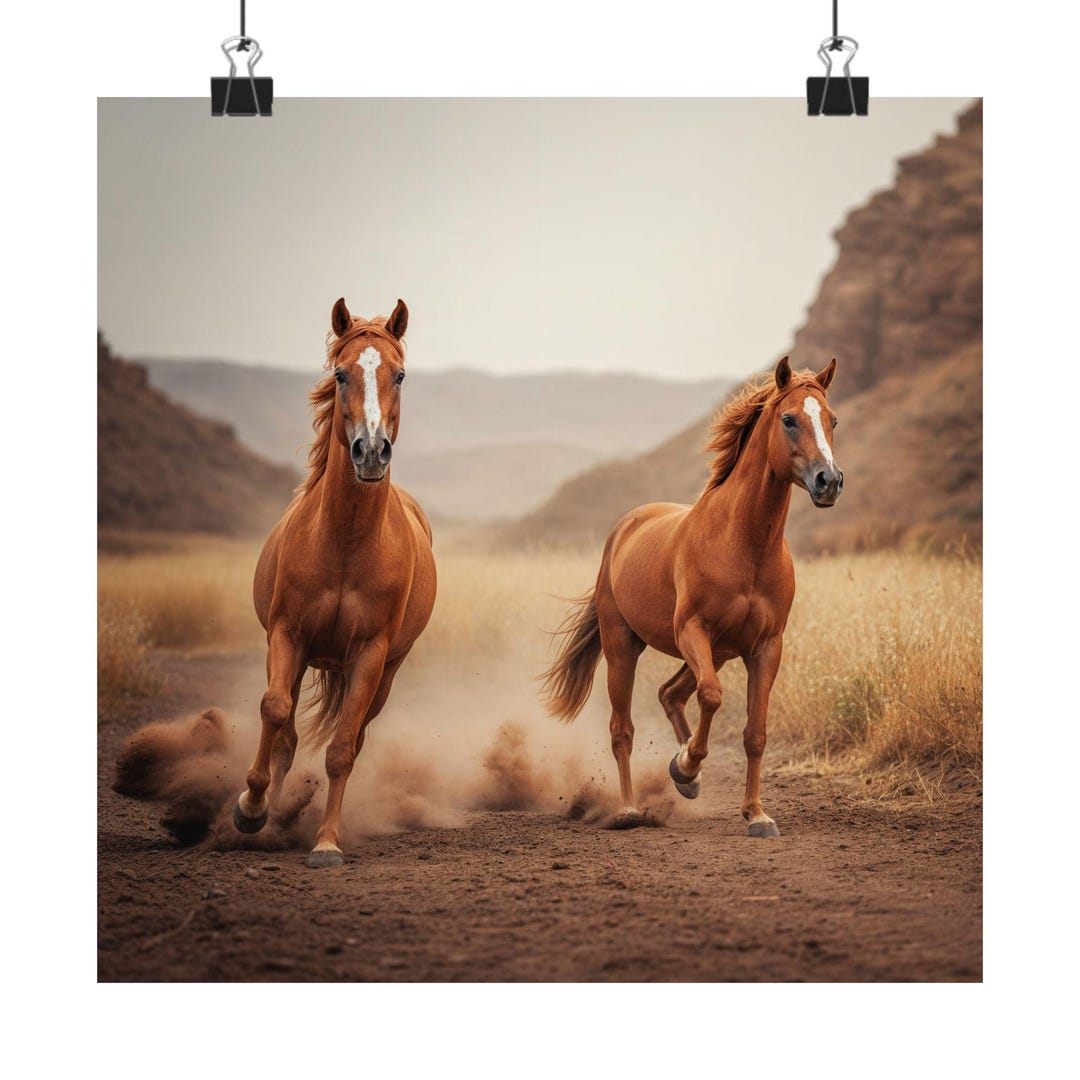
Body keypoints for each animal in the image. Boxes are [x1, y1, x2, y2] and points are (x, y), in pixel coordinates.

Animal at [233, 297, 437, 868]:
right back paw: (271, 814)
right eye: (342, 374)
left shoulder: (369, 653)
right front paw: (251, 808)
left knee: (355, 736)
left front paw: (326, 843)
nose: (370, 452)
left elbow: (342, 749)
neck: (345, 541)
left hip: (384, 672)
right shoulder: (288, 635)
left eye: (400, 374)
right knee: (285, 733)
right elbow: (275, 712)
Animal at [541, 356, 842, 836]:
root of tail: (624, 528)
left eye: (833, 420)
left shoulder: (765, 647)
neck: (744, 545)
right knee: (622, 729)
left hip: (718, 650)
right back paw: (630, 808)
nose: (828, 481)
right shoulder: (692, 630)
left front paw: (756, 814)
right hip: (623, 646)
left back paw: (686, 781)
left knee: (669, 693)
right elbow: (713, 696)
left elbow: (755, 732)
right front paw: (685, 766)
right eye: (789, 419)